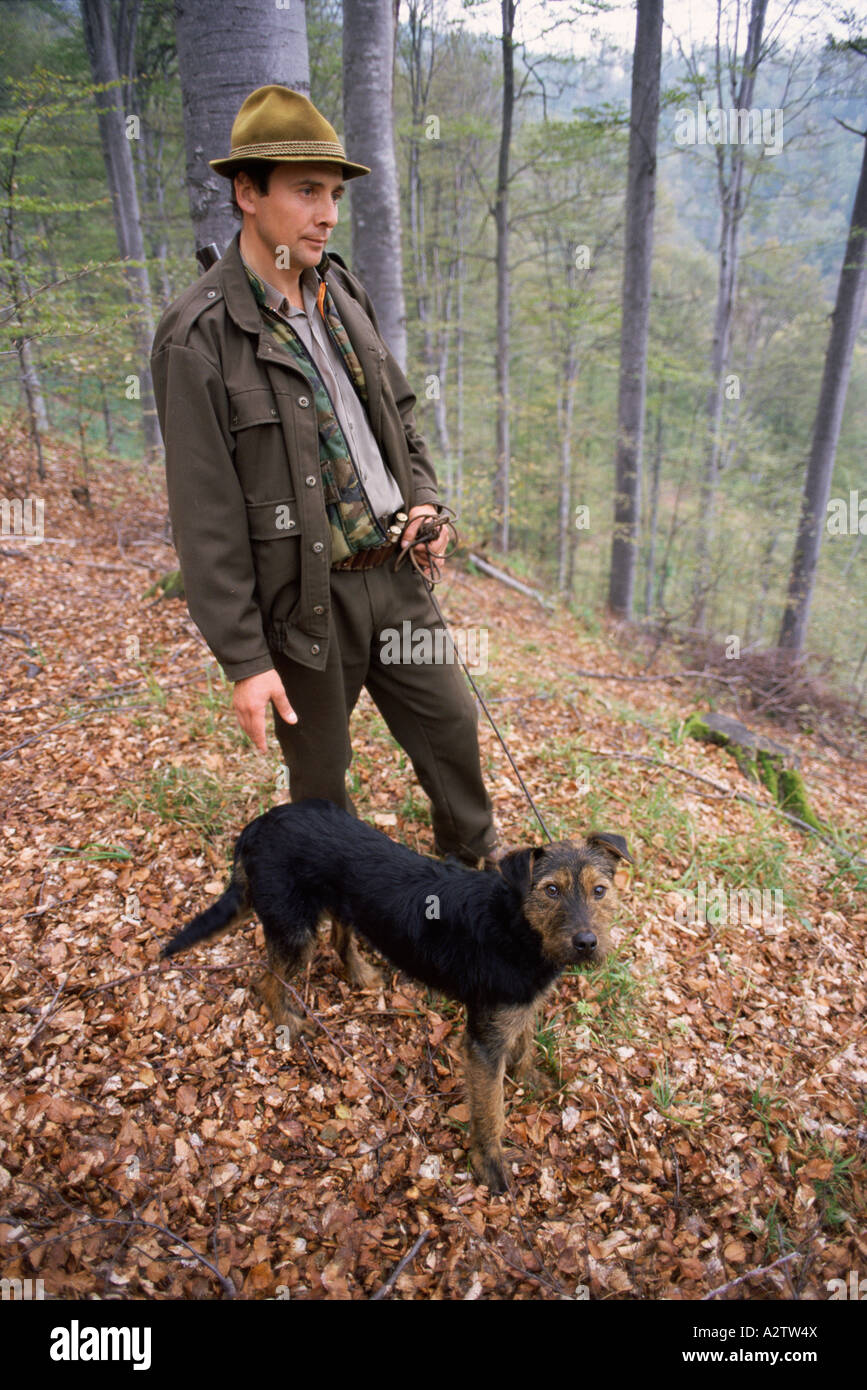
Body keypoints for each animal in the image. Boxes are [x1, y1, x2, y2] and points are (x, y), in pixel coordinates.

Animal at [161, 800, 630, 1189]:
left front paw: (531, 1078)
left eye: (599, 891)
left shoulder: (517, 1010)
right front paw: (490, 1163)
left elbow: (526, 1045)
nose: (587, 942)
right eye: (551, 890)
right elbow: (490, 1110)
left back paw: (359, 974)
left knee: (338, 938)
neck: (518, 926)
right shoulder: (482, 1042)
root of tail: (257, 825)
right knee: (267, 978)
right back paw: (288, 1023)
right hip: (294, 931)